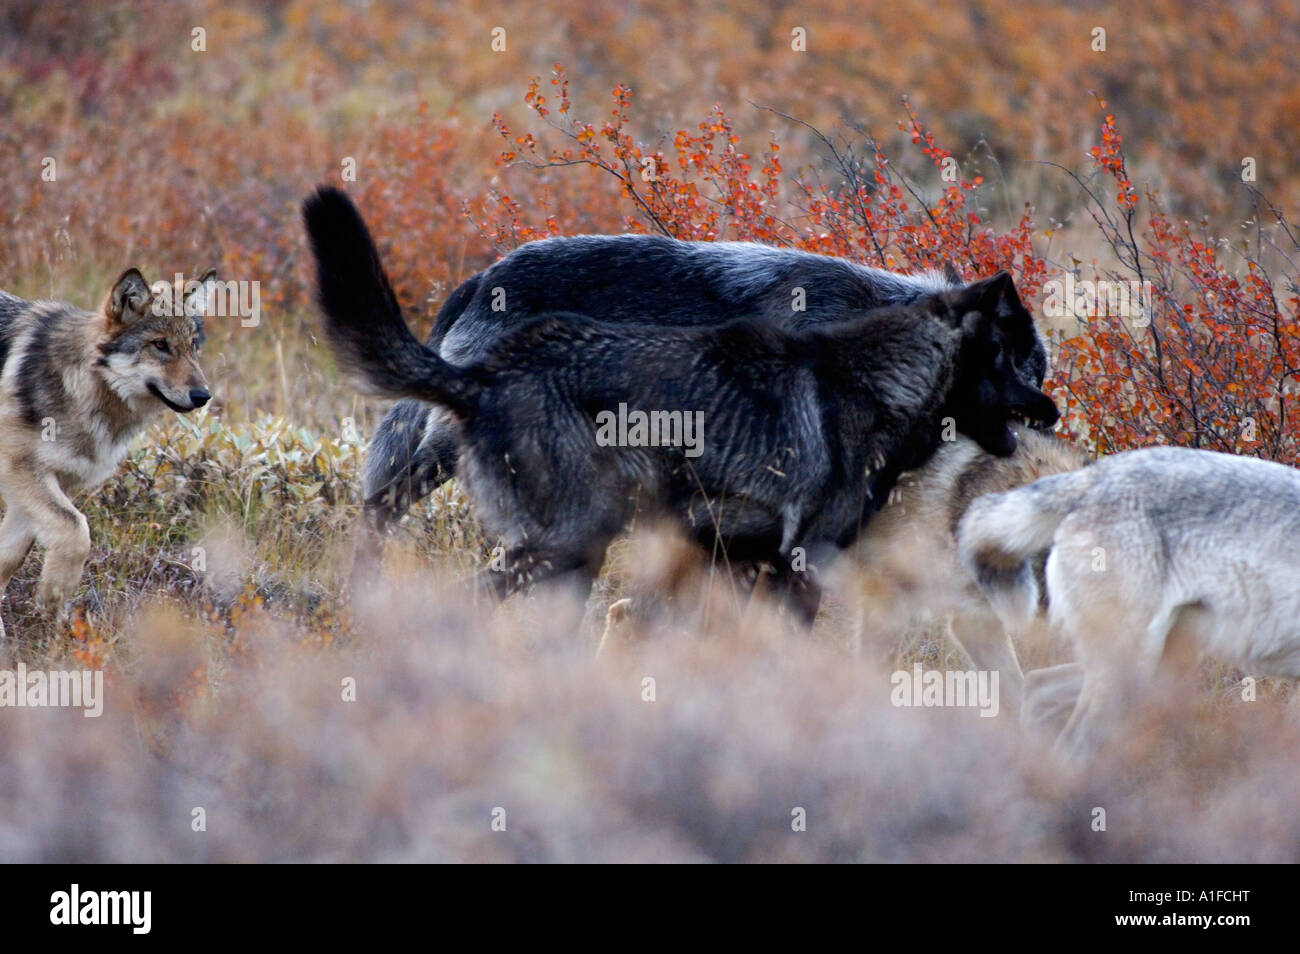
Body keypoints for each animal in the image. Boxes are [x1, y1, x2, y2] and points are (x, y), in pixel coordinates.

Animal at [0, 269, 215, 636]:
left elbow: (9, 556)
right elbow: (77, 531)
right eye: (160, 345)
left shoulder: (45, 484)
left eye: (193, 347)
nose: (203, 395)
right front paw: (53, 597)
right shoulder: (20, 470)